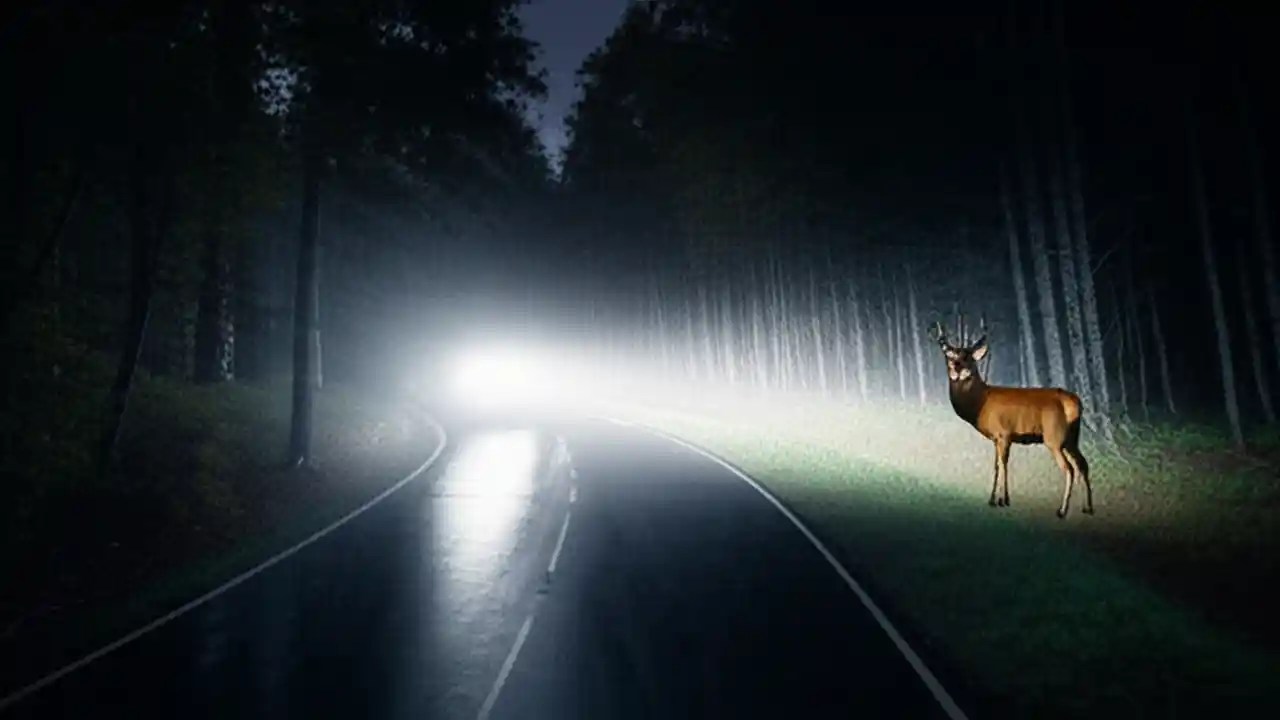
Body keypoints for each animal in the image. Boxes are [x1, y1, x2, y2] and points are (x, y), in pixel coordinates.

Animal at [930, 320, 1093, 518]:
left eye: (969, 358)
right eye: (950, 357)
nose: (959, 369)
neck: (981, 403)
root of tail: (1073, 403)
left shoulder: (1004, 434)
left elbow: (1004, 464)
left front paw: (1003, 499)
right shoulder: (995, 438)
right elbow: (996, 466)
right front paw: (992, 500)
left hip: (1054, 437)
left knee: (1069, 468)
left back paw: (1062, 510)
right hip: (1072, 438)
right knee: (1083, 464)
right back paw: (1087, 507)